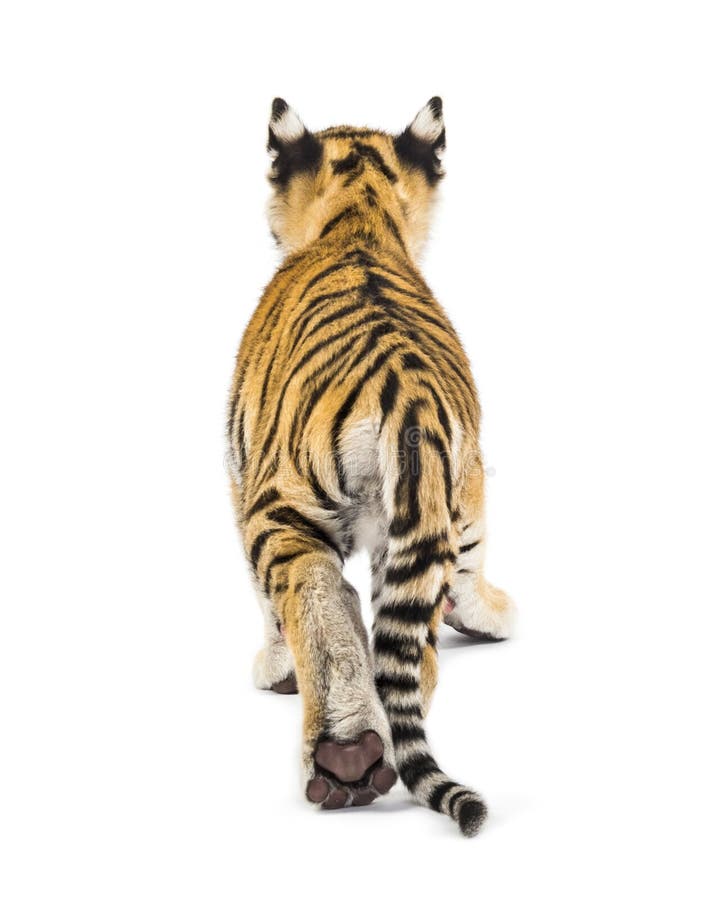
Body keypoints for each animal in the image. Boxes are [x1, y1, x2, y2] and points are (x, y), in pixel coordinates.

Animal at [226, 97, 515, 836]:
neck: (359, 212)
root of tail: (405, 392)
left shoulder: (243, 486)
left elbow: (273, 607)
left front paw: (275, 668)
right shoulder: (470, 492)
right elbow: (472, 564)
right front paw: (488, 615)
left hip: (284, 508)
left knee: (318, 599)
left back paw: (346, 752)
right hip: (429, 511)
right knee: (411, 657)